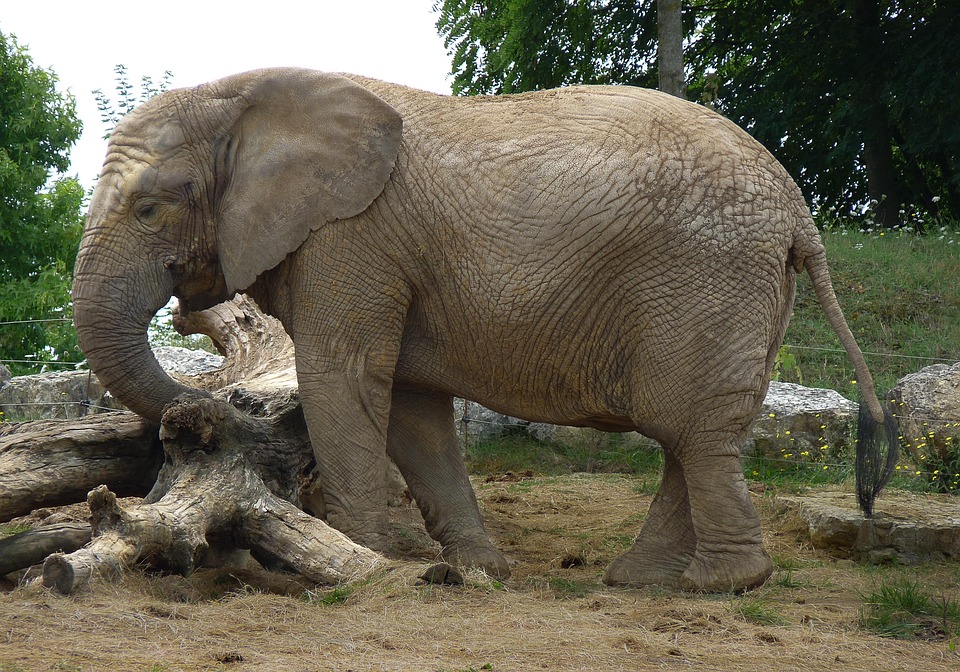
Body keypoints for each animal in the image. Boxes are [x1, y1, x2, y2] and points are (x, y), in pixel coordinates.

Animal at [73, 67, 894, 592]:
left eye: (151, 208)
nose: (201, 412)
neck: (242, 98)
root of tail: (799, 212)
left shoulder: (352, 236)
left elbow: (344, 375)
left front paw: (356, 560)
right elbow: (409, 406)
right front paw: (475, 572)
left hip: (709, 282)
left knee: (691, 430)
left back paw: (720, 585)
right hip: (747, 292)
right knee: (695, 434)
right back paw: (647, 581)